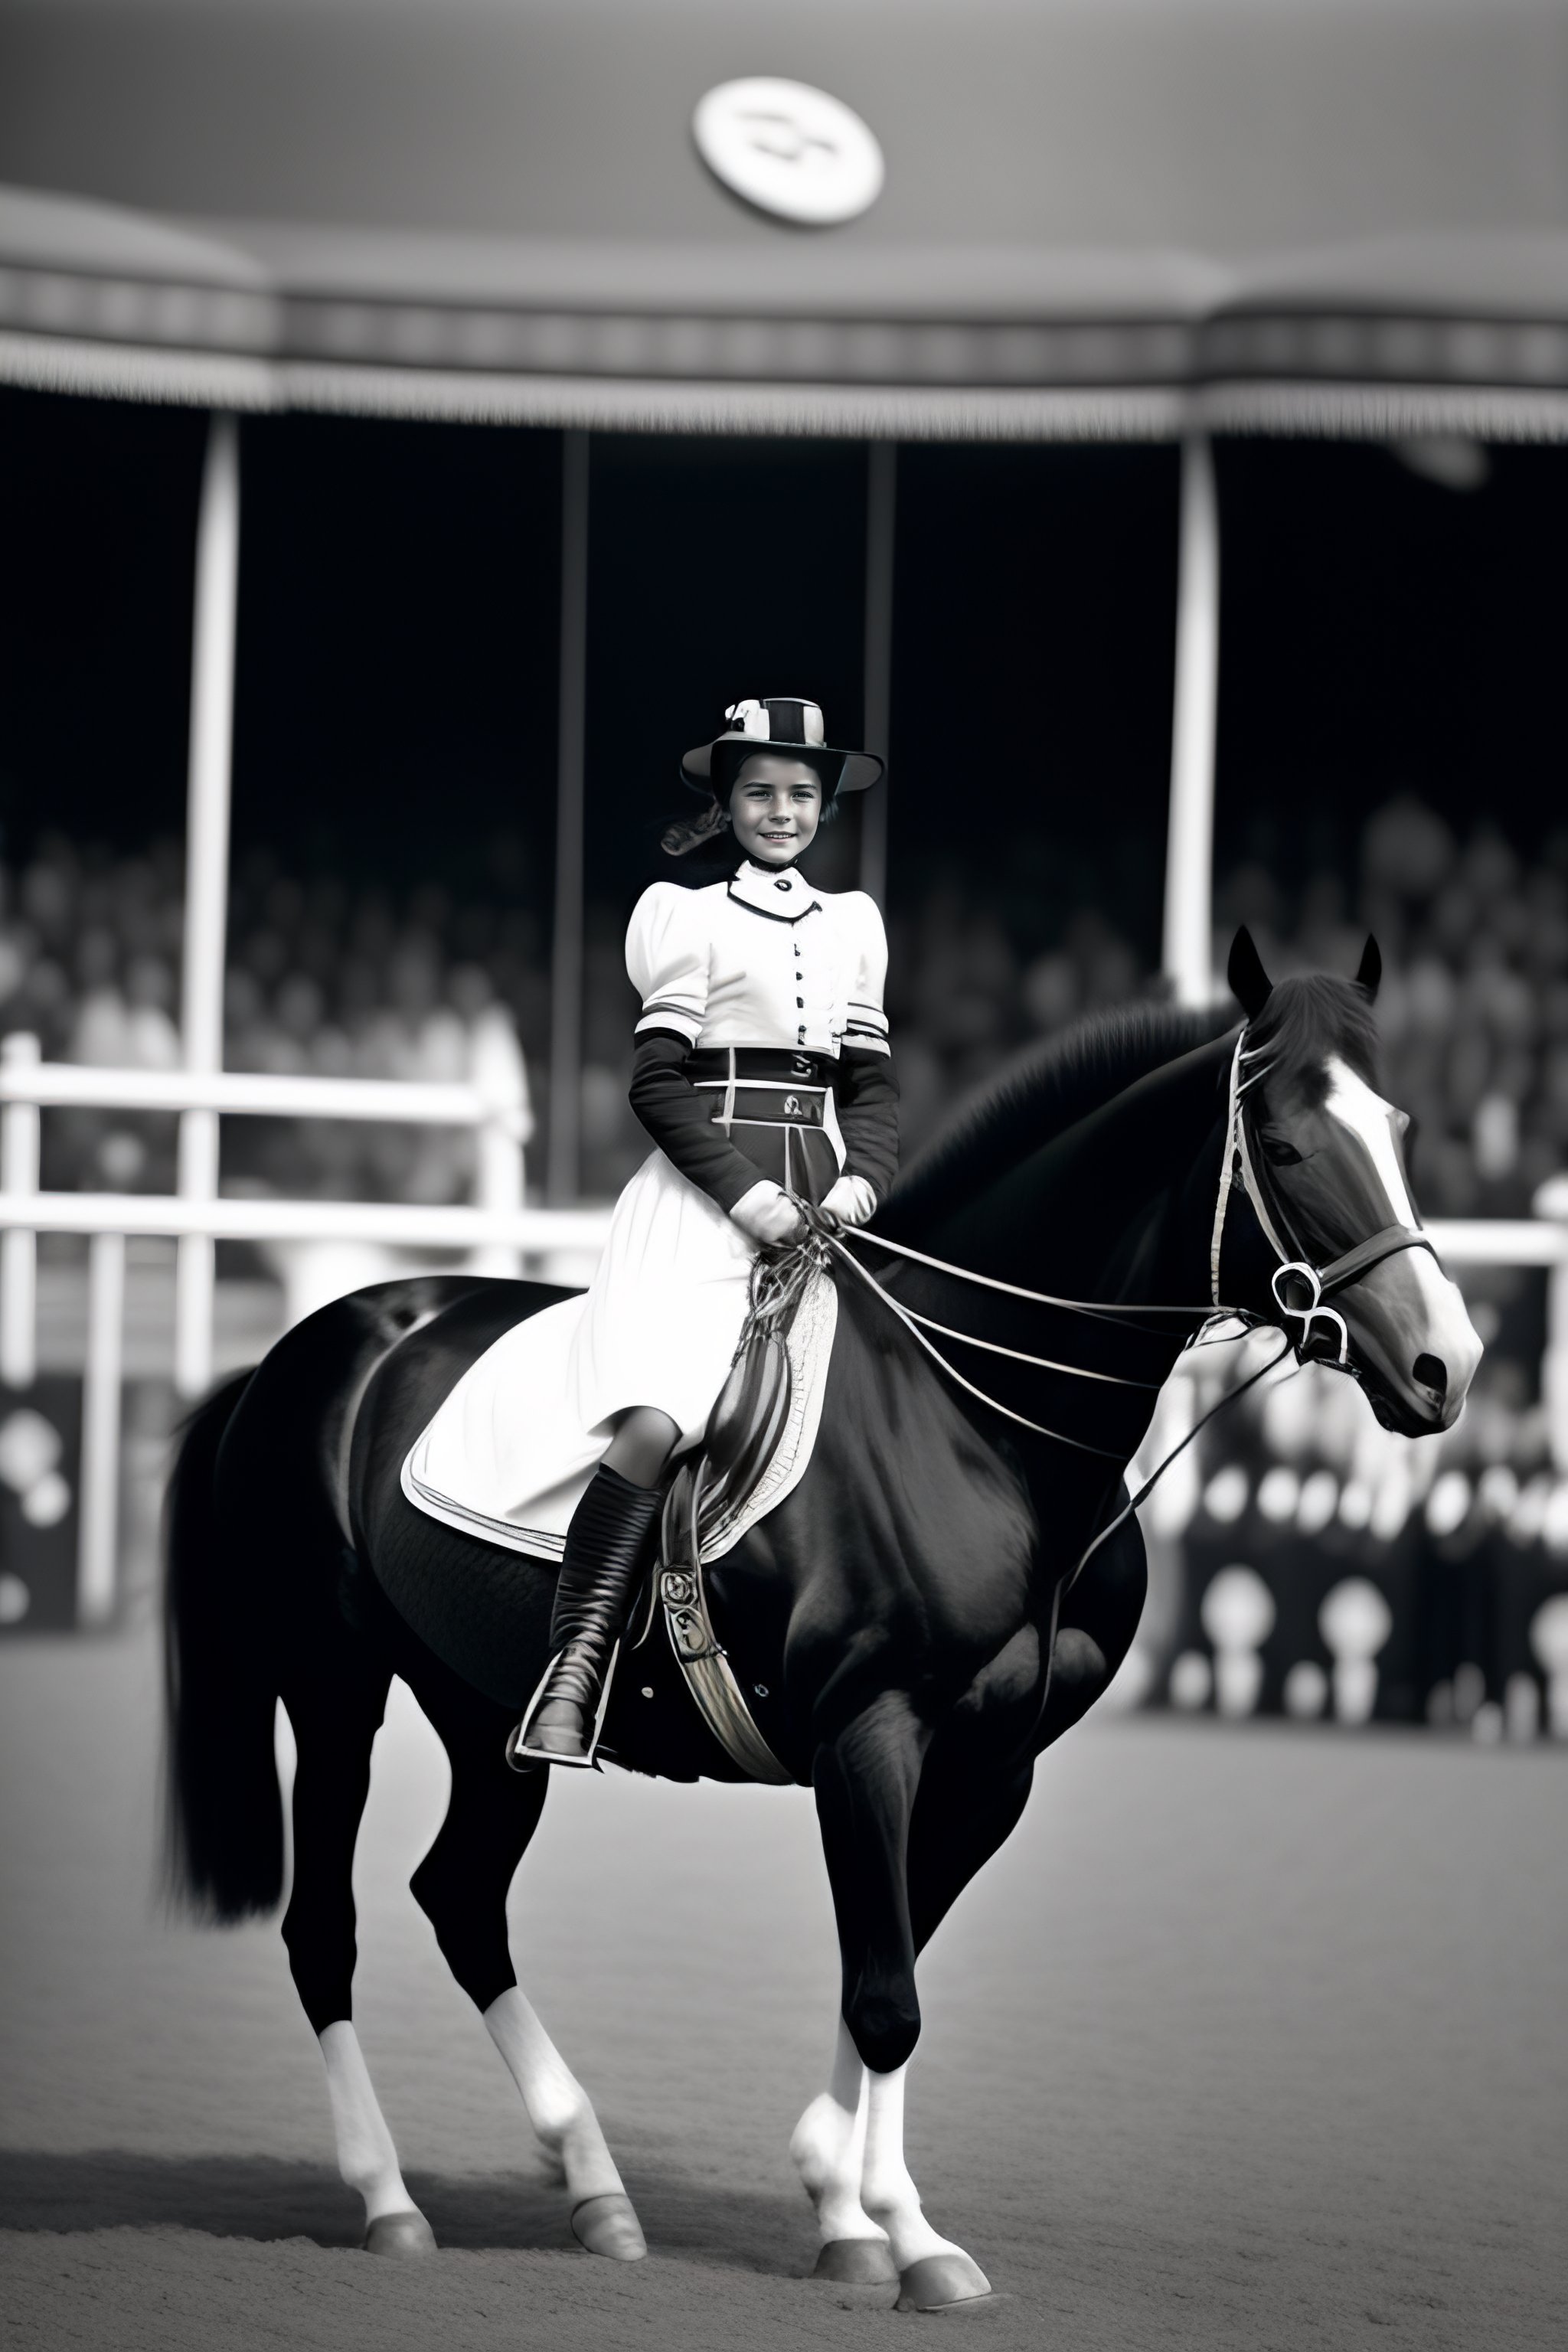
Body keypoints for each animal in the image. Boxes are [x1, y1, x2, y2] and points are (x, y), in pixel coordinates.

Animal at [163, 930, 1481, 2311]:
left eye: (1398, 1127)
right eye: (1283, 1145)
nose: (1444, 1365)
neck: (984, 1428)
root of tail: (307, 1346)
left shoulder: (991, 1765)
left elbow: (881, 1974)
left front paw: (840, 2203)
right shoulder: (871, 1733)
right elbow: (888, 1993)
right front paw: (907, 2236)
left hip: (484, 1712)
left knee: (461, 1898)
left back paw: (594, 2184)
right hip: (334, 1686)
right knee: (326, 1927)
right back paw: (389, 2200)